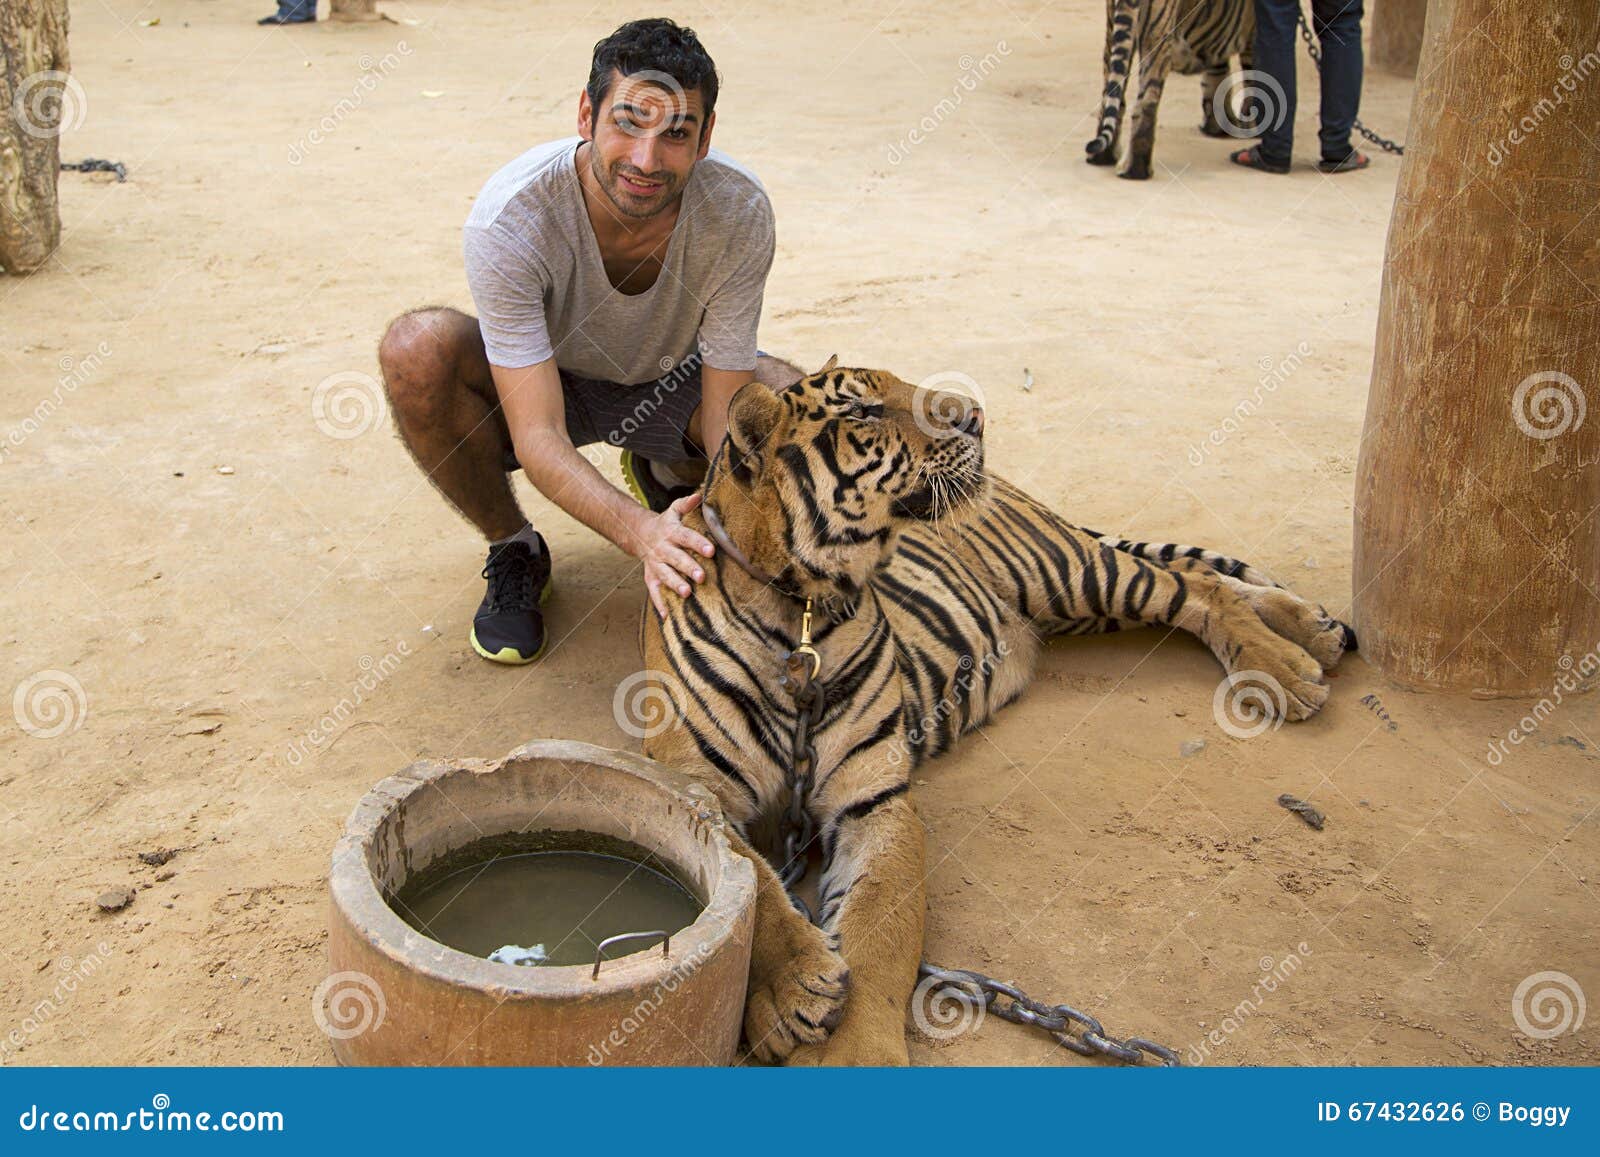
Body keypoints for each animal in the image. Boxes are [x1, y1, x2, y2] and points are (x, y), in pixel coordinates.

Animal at [638, 360, 1354, 1065]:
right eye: (862, 411)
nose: (976, 416)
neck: (802, 604)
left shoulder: (874, 798)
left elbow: (878, 935)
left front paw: (857, 1049)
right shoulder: (700, 792)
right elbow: (756, 888)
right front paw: (791, 991)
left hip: (1071, 575)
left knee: (1197, 588)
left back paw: (1288, 668)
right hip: (1079, 604)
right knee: (1205, 580)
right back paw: (1316, 633)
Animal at [1086, 0, 1258, 180]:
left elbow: (1217, 78)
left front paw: (1217, 127)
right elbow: (1252, 85)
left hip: (1113, 33)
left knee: (1111, 96)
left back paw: (1103, 157)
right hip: (1158, 36)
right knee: (1146, 102)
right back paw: (1136, 171)